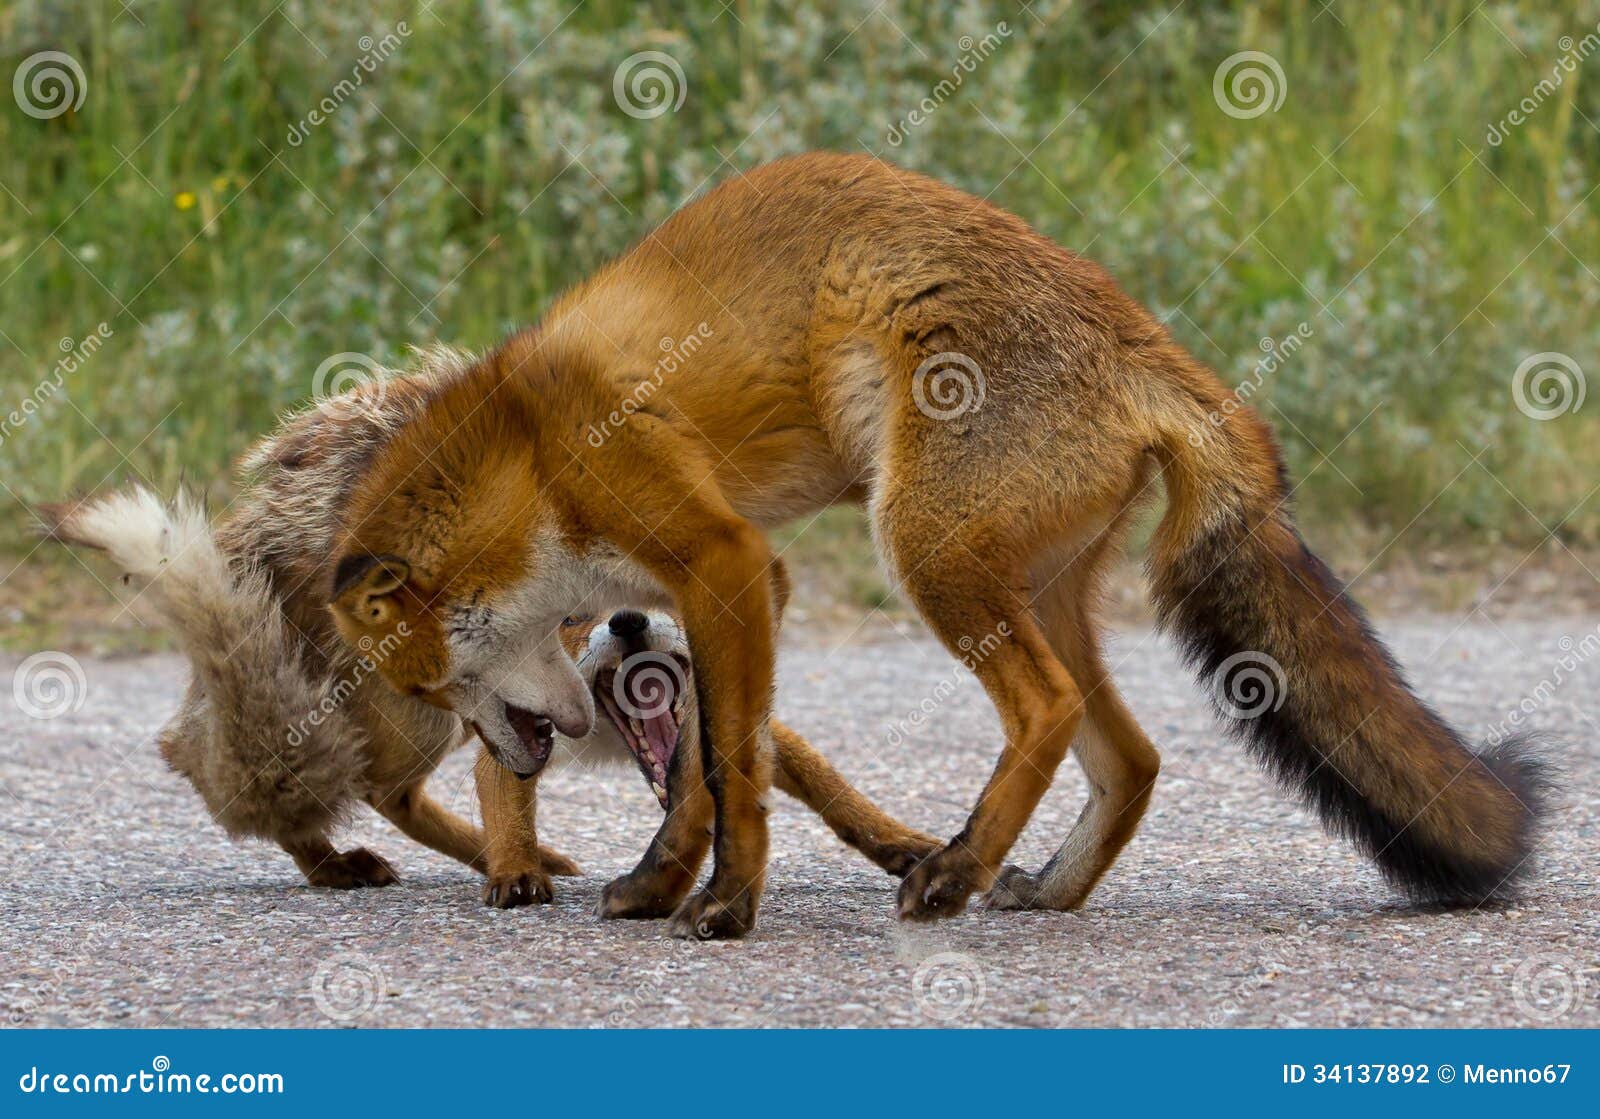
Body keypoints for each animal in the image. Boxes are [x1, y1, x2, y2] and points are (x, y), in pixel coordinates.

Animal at [41, 374, 938, 906]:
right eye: (570, 617)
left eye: (652, 597)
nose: (626, 623)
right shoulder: (508, 734)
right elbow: (503, 795)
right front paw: (513, 868)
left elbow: (830, 789)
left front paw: (902, 844)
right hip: (419, 717)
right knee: (318, 782)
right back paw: (346, 861)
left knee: (382, 794)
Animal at [288, 152, 1539, 939]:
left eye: (427, 683)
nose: (510, 755)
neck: (530, 455)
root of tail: (1147, 340)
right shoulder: (728, 581)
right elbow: (704, 761)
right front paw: (659, 883)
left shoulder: (723, 561)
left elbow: (730, 765)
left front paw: (726, 909)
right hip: (1033, 584)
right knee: (1131, 755)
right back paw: (1040, 889)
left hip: (925, 552)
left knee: (1046, 712)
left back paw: (955, 872)